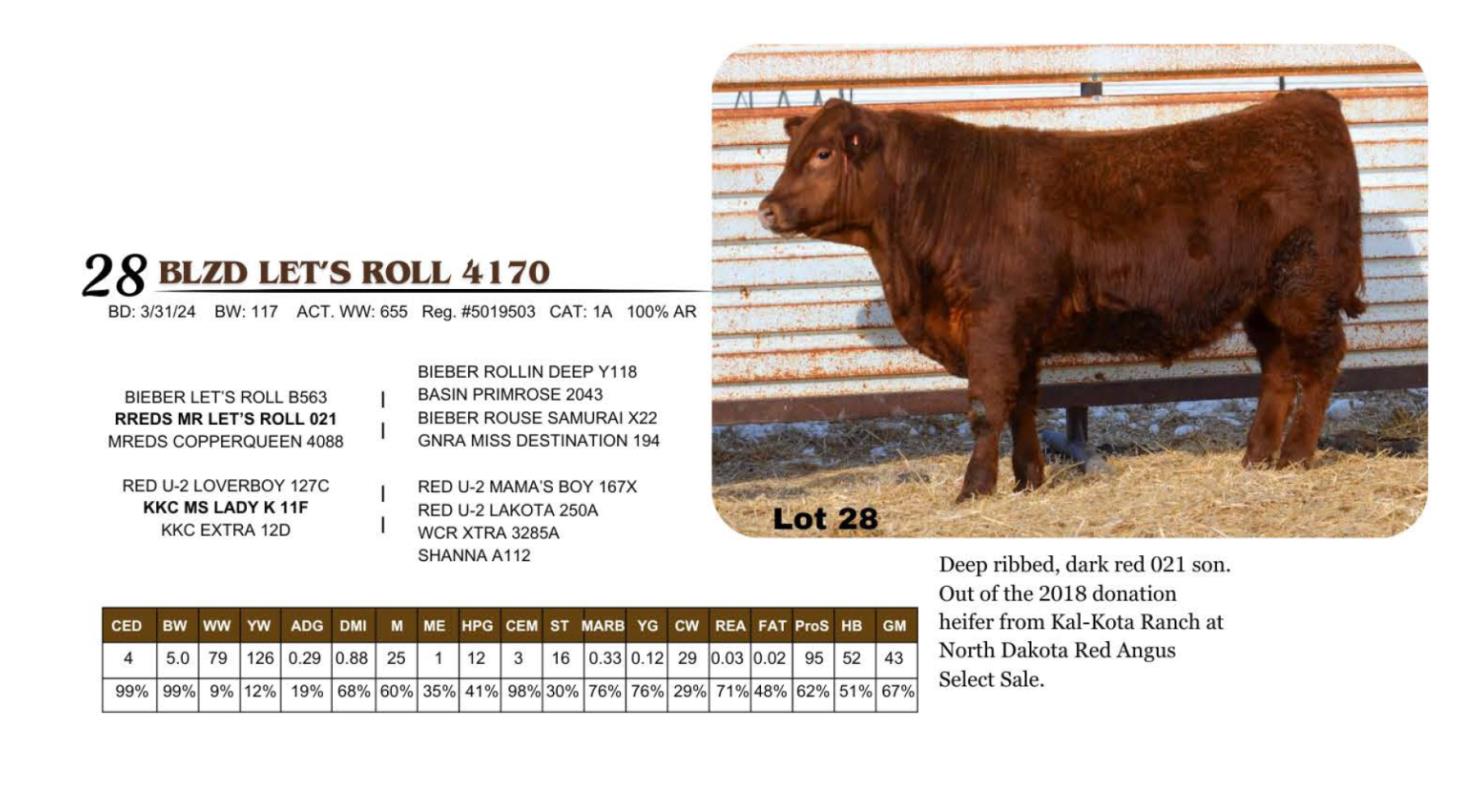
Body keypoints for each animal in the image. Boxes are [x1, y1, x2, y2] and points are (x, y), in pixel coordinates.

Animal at [758, 93, 1365, 502]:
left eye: (823, 154)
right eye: (792, 150)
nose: (766, 209)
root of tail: (1310, 102)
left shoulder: (994, 322)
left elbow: (985, 407)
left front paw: (975, 489)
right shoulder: (1019, 332)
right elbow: (1022, 402)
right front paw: (1029, 479)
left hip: (1305, 293)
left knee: (1321, 363)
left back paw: (1296, 457)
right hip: (1266, 304)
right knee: (1279, 371)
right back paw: (1258, 459)